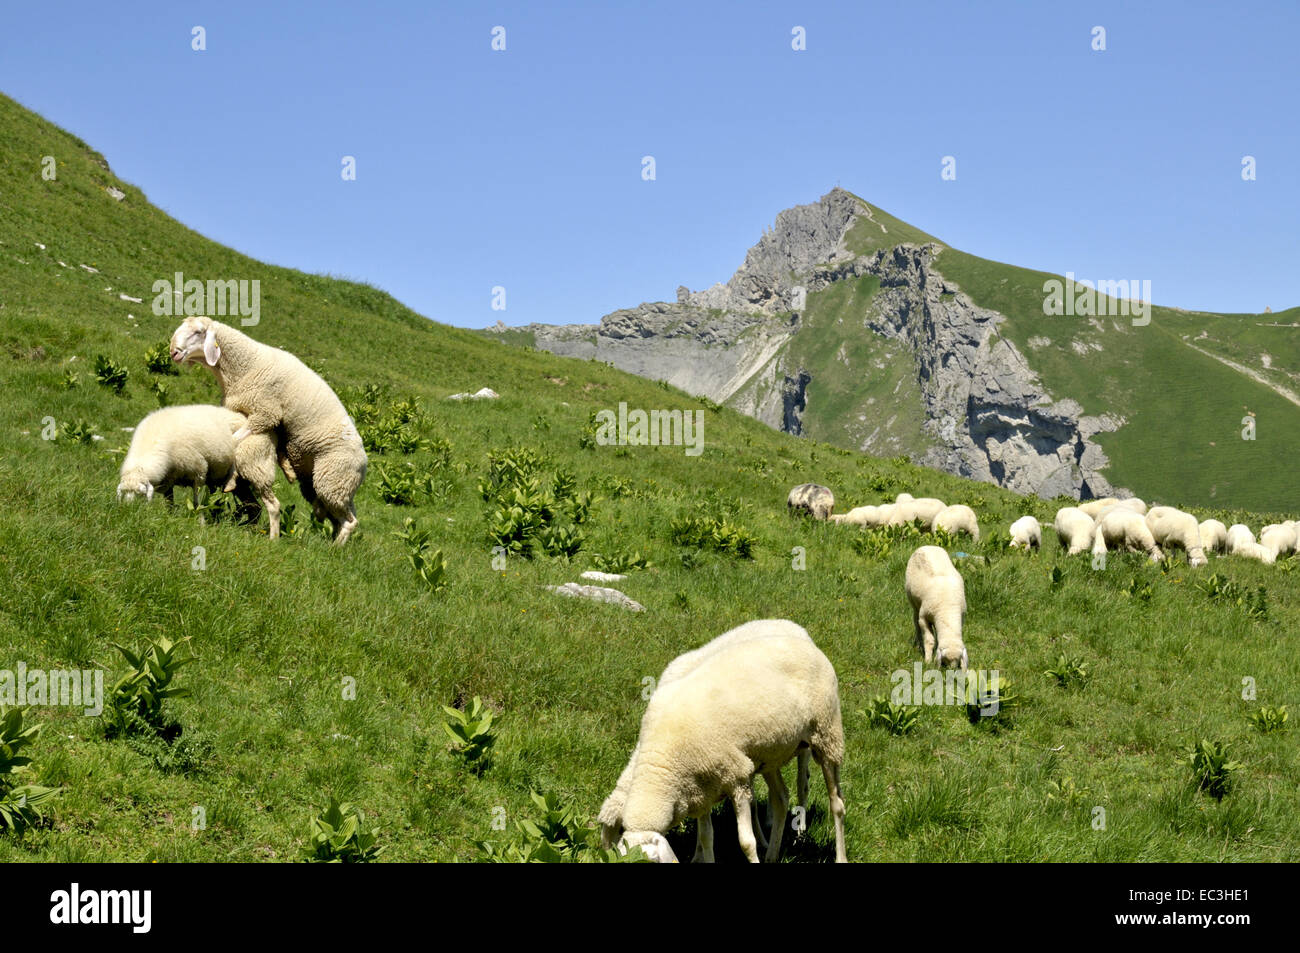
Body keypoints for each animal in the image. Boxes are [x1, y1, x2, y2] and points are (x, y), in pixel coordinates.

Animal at [116, 405, 281, 538]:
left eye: (141, 494)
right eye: (124, 494)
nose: (129, 510)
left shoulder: (199, 471)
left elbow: (198, 503)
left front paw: (201, 525)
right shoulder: (169, 480)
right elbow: (169, 503)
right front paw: (170, 518)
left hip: (256, 468)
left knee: (273, 506)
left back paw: (272, 539)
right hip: (242, 483)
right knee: (255, 507)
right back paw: (247, 532)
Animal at [170, 316, 367, 545]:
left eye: (199, 332)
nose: (173, 352)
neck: (246, 364)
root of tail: (365, 464)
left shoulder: (265, 414)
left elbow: (235, 440)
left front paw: (231, 476)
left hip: (333, 481)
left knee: (350, 522)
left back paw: (334, 548)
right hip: (326, 485)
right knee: (340, 519)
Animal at [612, 621, 847, 864]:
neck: (664, 765)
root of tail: (807, 642)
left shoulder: (737, 778)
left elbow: (746, 842)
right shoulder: (700, 790)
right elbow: (706, 837)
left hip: (827, 736)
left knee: (837, 803)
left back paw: (840, 856)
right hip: (772, 754)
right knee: (781, 799)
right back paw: (772, 855)